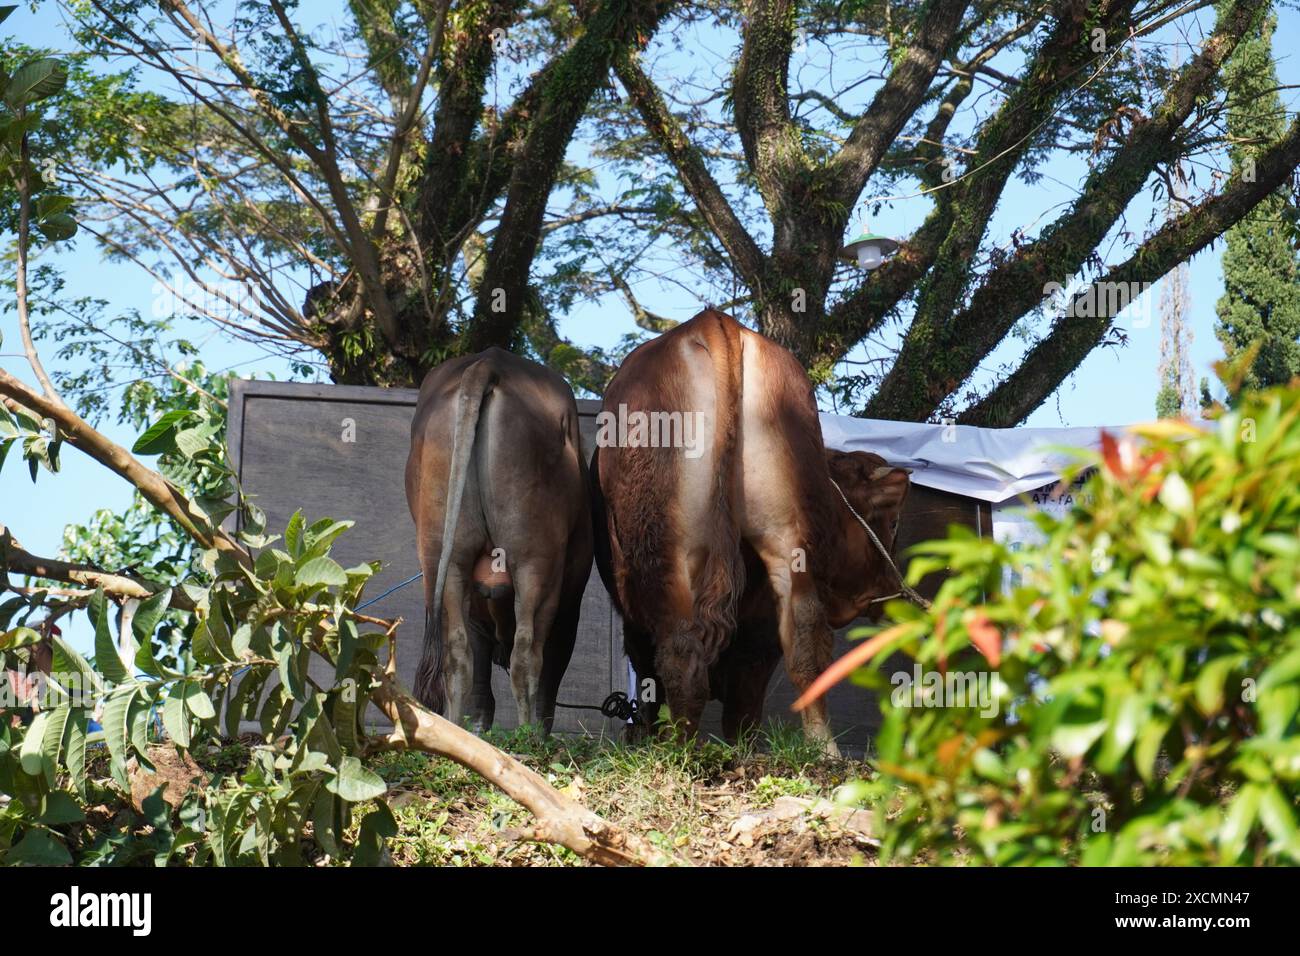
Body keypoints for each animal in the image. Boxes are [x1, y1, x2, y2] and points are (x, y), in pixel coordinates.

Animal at [406, 348, 593, 733]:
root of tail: (488, 363)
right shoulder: (570, 601)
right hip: (536, 560)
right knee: (527, 652)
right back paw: (528, 735)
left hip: (443, 555)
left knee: (457, 651)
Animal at [590, 309, 911, 756]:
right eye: (892, 522)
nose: (892, 589)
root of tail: (714, 322)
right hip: (786, 537)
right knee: (805, 640)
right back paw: (822, 750)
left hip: (666, 547)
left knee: (681, 653)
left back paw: (677, 749)